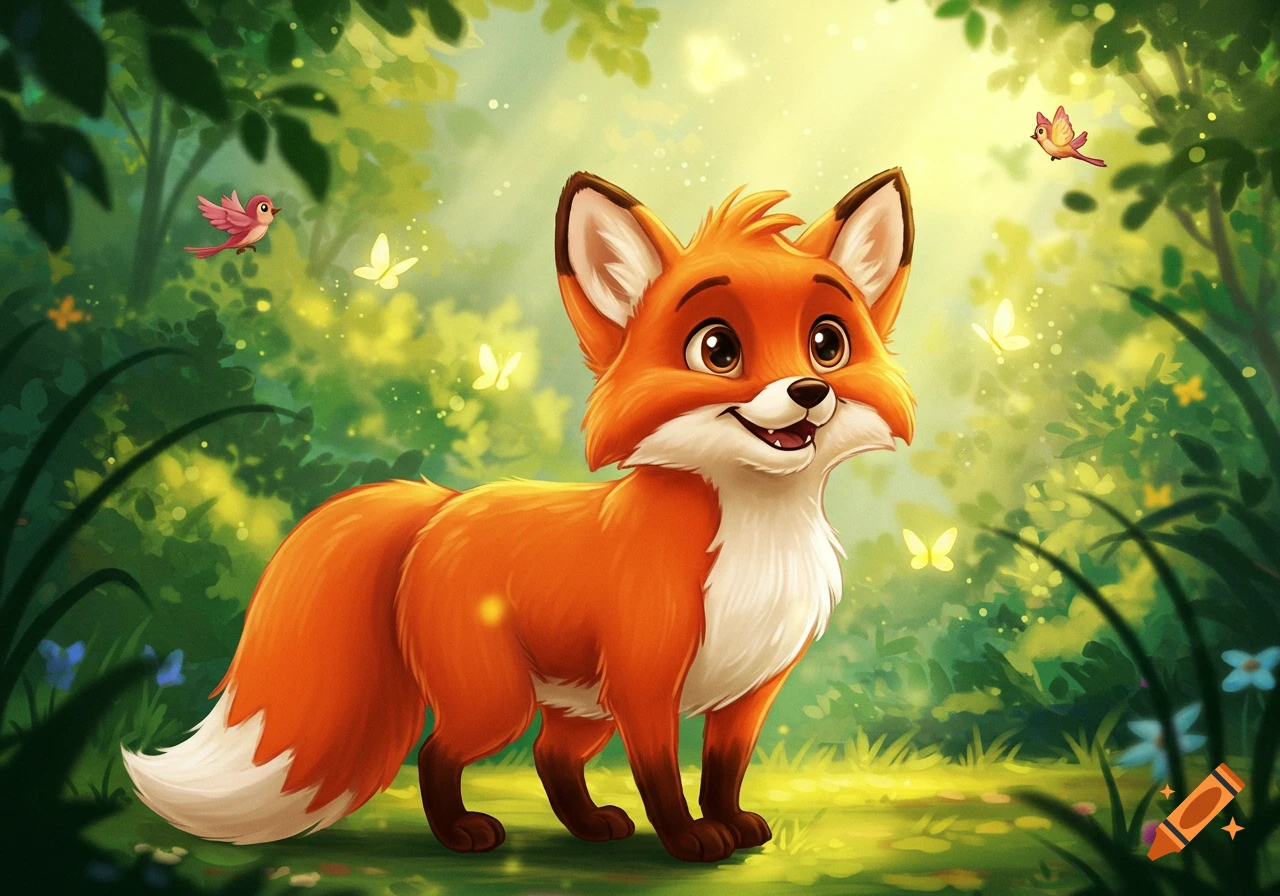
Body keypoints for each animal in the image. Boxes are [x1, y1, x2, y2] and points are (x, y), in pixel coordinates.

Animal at [122, 168, 917, 863]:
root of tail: (437, 507)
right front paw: (690, 842)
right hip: (498, 698)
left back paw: (590, 826)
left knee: (548, 755)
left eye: (828, 342)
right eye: (718, 349)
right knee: (438, 753)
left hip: (579, 707)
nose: (810, 390)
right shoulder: (644, 684)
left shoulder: (750, 691)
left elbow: (724, 772)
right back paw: (461, 834)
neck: (757, 534)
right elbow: (662, 778)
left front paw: (732, 823)